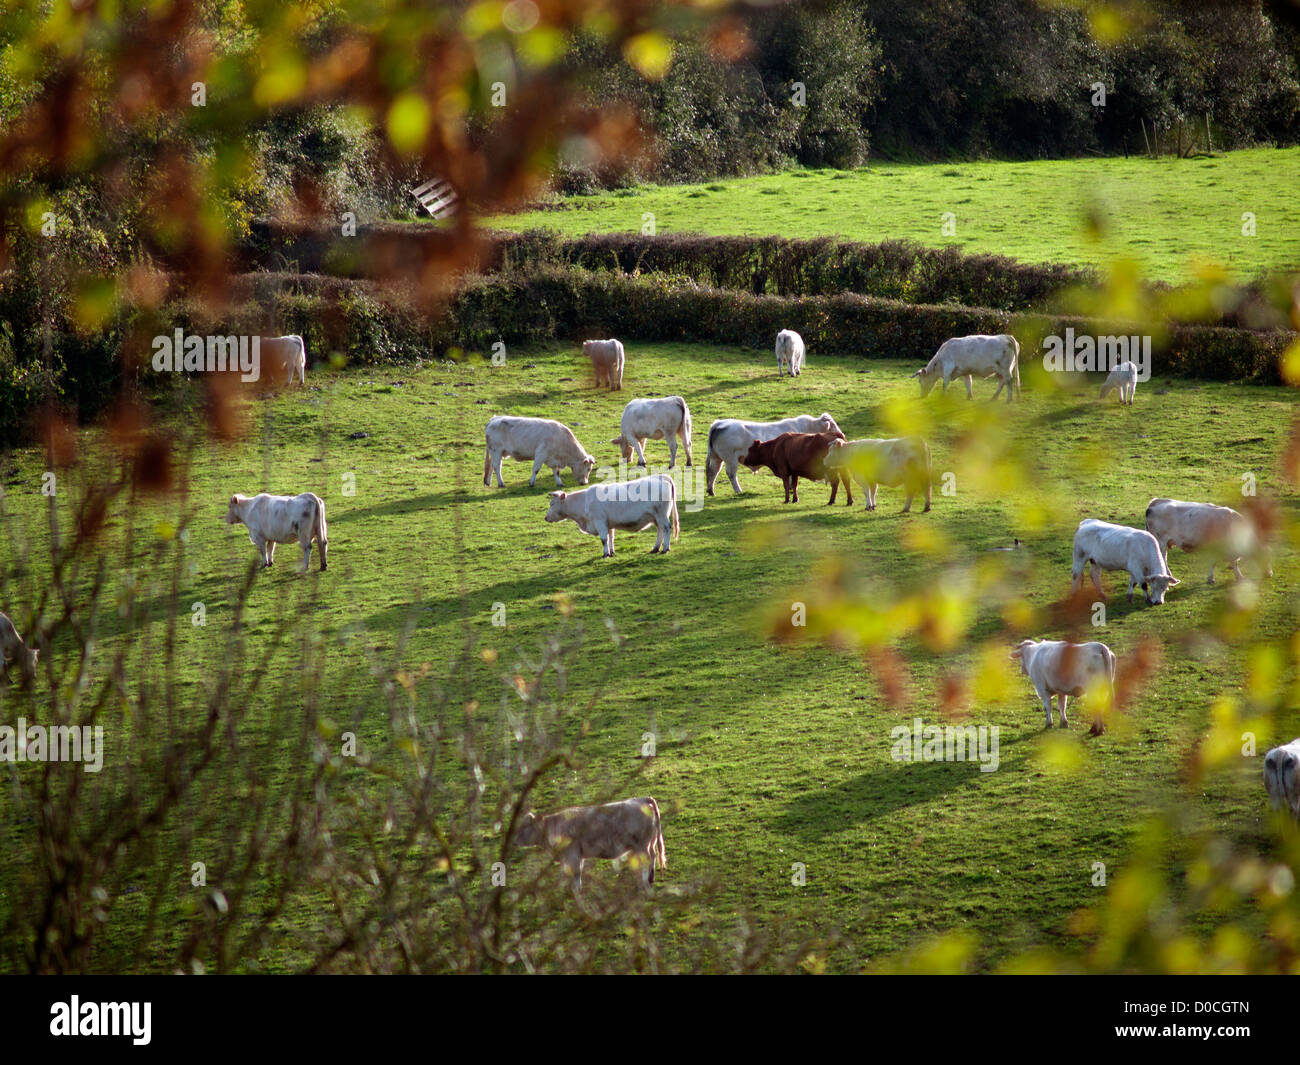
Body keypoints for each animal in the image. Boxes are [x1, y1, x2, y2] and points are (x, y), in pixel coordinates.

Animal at [513, 796, 666, 892]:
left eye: (524, 826)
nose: (514, 840)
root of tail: (641, 799)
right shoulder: (577, 855)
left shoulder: (572, 854)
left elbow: (576, 873)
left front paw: (576, 892)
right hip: (649, 842)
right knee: (653, 856)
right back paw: (650, 878)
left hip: (641, 845)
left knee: (647, 860)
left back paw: (645, 883)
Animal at [544, 474, 679, 557]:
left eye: (552, 503)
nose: (545, 517)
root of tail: (662, 477)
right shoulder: (608, 524)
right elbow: (611, 538)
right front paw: (611, 552)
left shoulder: (600, 522)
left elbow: (604, 539)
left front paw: (605, 554)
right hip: (656, 517)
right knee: (660, 530)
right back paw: (655, 548)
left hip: (661, 515)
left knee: (666, 529)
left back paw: (665, 549)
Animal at [705, 412, 841, 496]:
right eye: (833, 424)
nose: (841, 434)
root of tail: (719, 423)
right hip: (730, 459)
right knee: (731, 474)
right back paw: (738, 490)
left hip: (717, 458)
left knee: (713, 472)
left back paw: (711, 491)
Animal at [1144, 497, 1272, 584]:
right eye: (1265, 558)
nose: (1270, 574)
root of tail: (1156, 501)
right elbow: (1225, 562)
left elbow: (1229, 562)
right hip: (1160, 541)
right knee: (1163, 558)